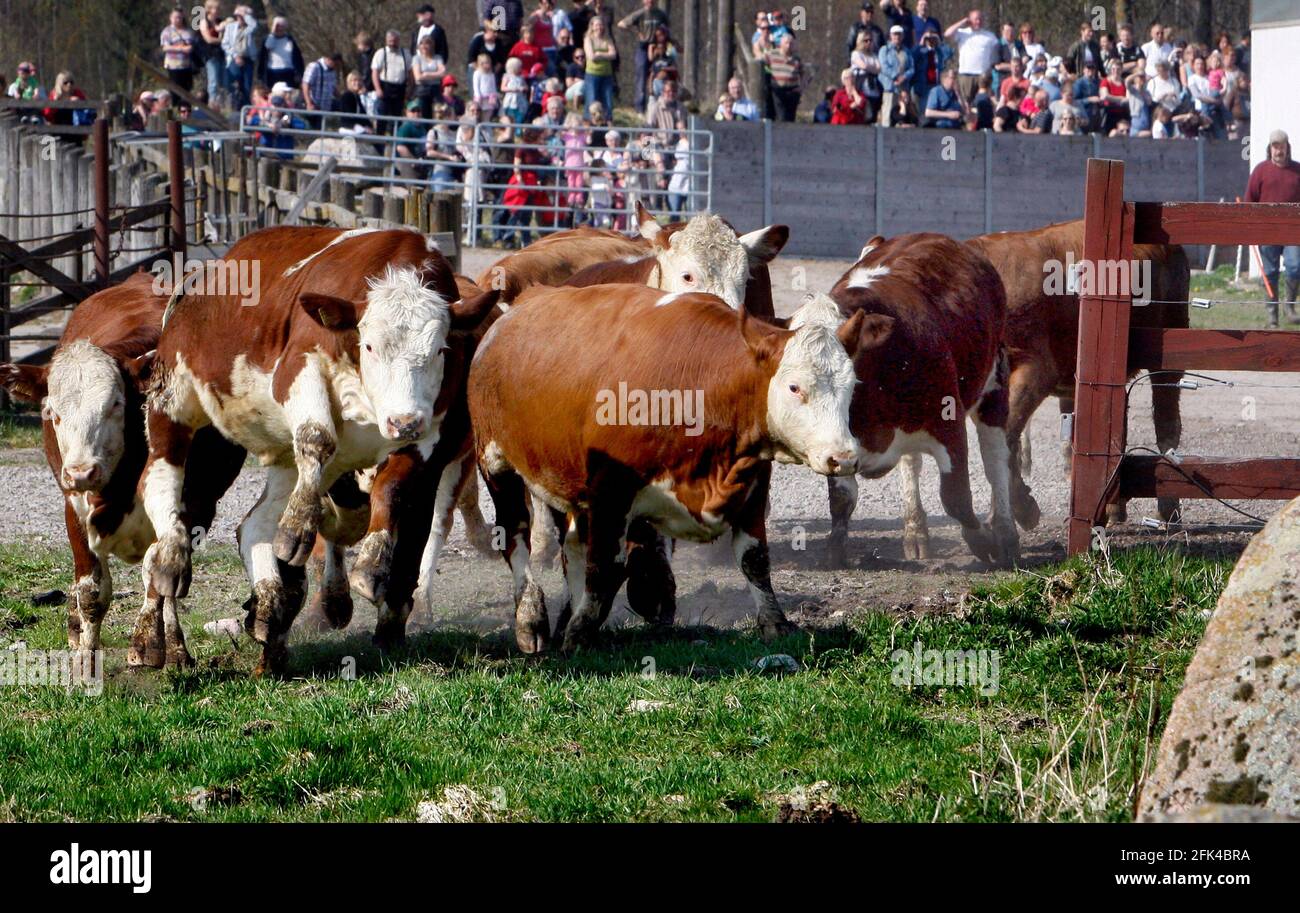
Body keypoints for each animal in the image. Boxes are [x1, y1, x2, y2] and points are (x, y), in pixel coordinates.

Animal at [0, 273, 246, 668]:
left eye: (116, 404)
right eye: (52, 412)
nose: (82, 472)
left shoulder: (196, 504)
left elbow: (159, 571)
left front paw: (148, 644)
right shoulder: (74, 506)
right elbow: (91, 589)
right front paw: (85, 661)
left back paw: (175, 647)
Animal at [137, 226, 499, 676]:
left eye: (440, 350)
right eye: (369, 346)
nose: (402, 422)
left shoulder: (431, 435)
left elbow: (397, 498)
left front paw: (375, 576)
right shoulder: (299, 367)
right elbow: (317, 436)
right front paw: (296, 530)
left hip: (270, 457)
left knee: (253, 524)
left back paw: (267, 615)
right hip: (180, 410)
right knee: (167, 493)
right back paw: (160, 622)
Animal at [469, 284, 866, 653]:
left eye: (851, 387)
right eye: (795, 387)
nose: (844, 458)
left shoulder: (751, 484)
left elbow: (755, 559)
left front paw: (775, 623)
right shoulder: (611, 492)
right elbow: (606, 566)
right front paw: (580, 635)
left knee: (573, 548)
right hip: (495, 462)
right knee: (515, 536)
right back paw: (531, 619)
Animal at [825, 233, 1019, 567]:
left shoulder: (949, 422)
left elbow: (955, 496)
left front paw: (982, 540)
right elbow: (842, 497)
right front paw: (836, 549)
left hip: (994, 385)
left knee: (995, 458)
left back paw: (1006, 534)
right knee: (911, 462)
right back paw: (916, 532)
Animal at [965, 220, 1189, 529]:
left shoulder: (1036, 371)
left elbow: (1005, 436)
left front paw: (1019, 510)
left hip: (1169, 351)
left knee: (1167, 420)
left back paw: (1168, 510)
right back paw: (1113, 507)